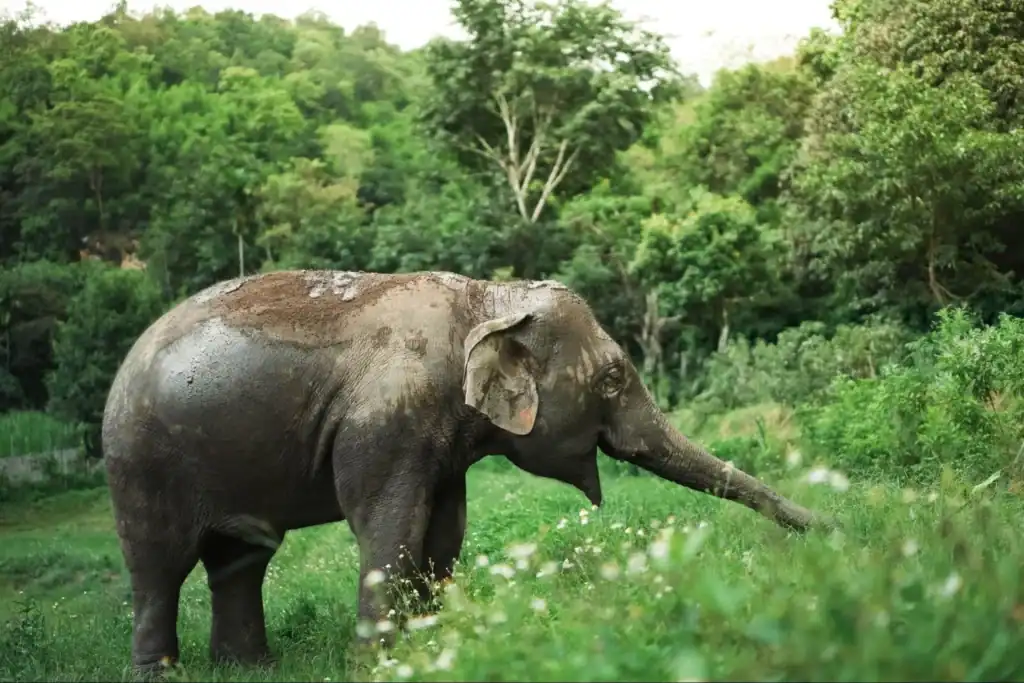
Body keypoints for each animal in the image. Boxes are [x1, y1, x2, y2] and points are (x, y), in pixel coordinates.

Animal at [102, 269, 830, 674]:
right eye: (613, 379)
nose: (832, 530)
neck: (487, 300)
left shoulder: (441, 437)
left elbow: (444, 531)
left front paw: (433, 647)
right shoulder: (386, 416)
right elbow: (388, 526)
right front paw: (378, 664)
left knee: (240, 559)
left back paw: (250, 668)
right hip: (141, 459)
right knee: (160, 564)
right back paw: (162, 673)